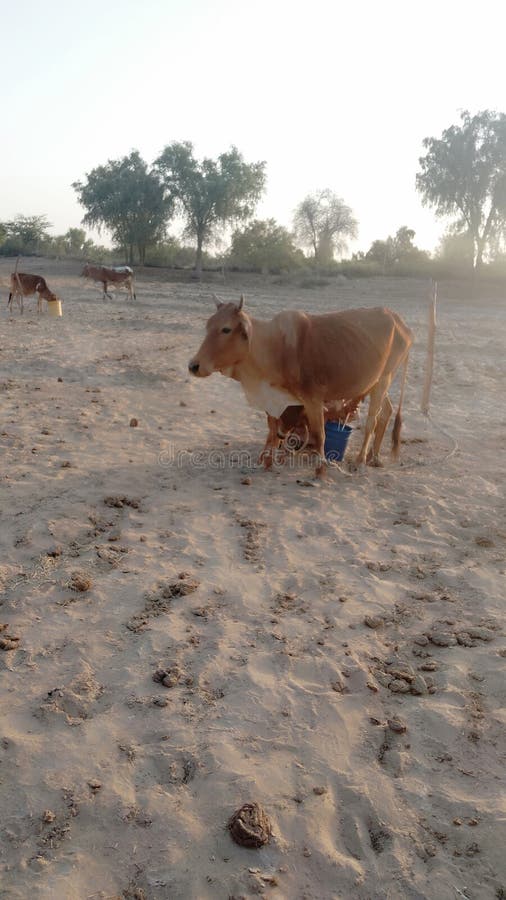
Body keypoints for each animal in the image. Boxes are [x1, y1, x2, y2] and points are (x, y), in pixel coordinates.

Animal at [188, 297, 413, 477]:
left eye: (226, 329)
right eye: (208, 326)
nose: (193, 365)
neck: (274, 347)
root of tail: (399, 321)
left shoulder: (313, 399)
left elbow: (319, 434)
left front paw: (320, 470)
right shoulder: (273, 400)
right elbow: (273, 431)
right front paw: (267, 462)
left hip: (384, 379)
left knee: (372, 421)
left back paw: (360, 461)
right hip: (376, 382)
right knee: (387, 412)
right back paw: (374, 457)